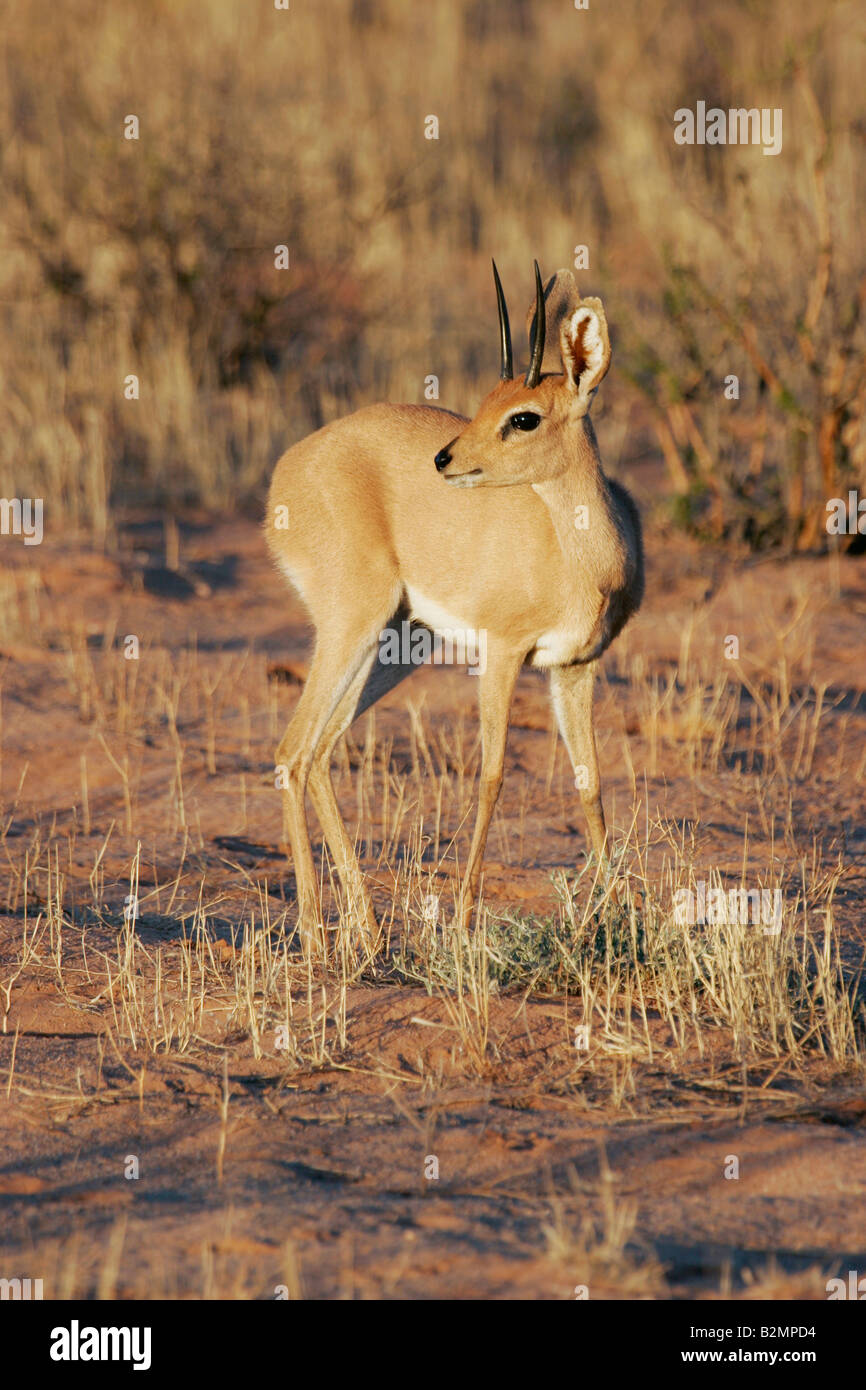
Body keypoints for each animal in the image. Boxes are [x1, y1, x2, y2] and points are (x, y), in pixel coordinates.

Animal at [266, 263, 644, 950]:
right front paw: (466, 921)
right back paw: (313, 932)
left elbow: (591, 781)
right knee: (292, 750)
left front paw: (618, 916)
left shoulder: (575, 667)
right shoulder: (502, 654)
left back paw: (366, 931)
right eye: (488, 402)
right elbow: (493, 775)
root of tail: (290, 467)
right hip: (352, 627)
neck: (581, 556)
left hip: (397, 644)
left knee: (322, 752)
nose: (443, 458)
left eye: (522, 417)